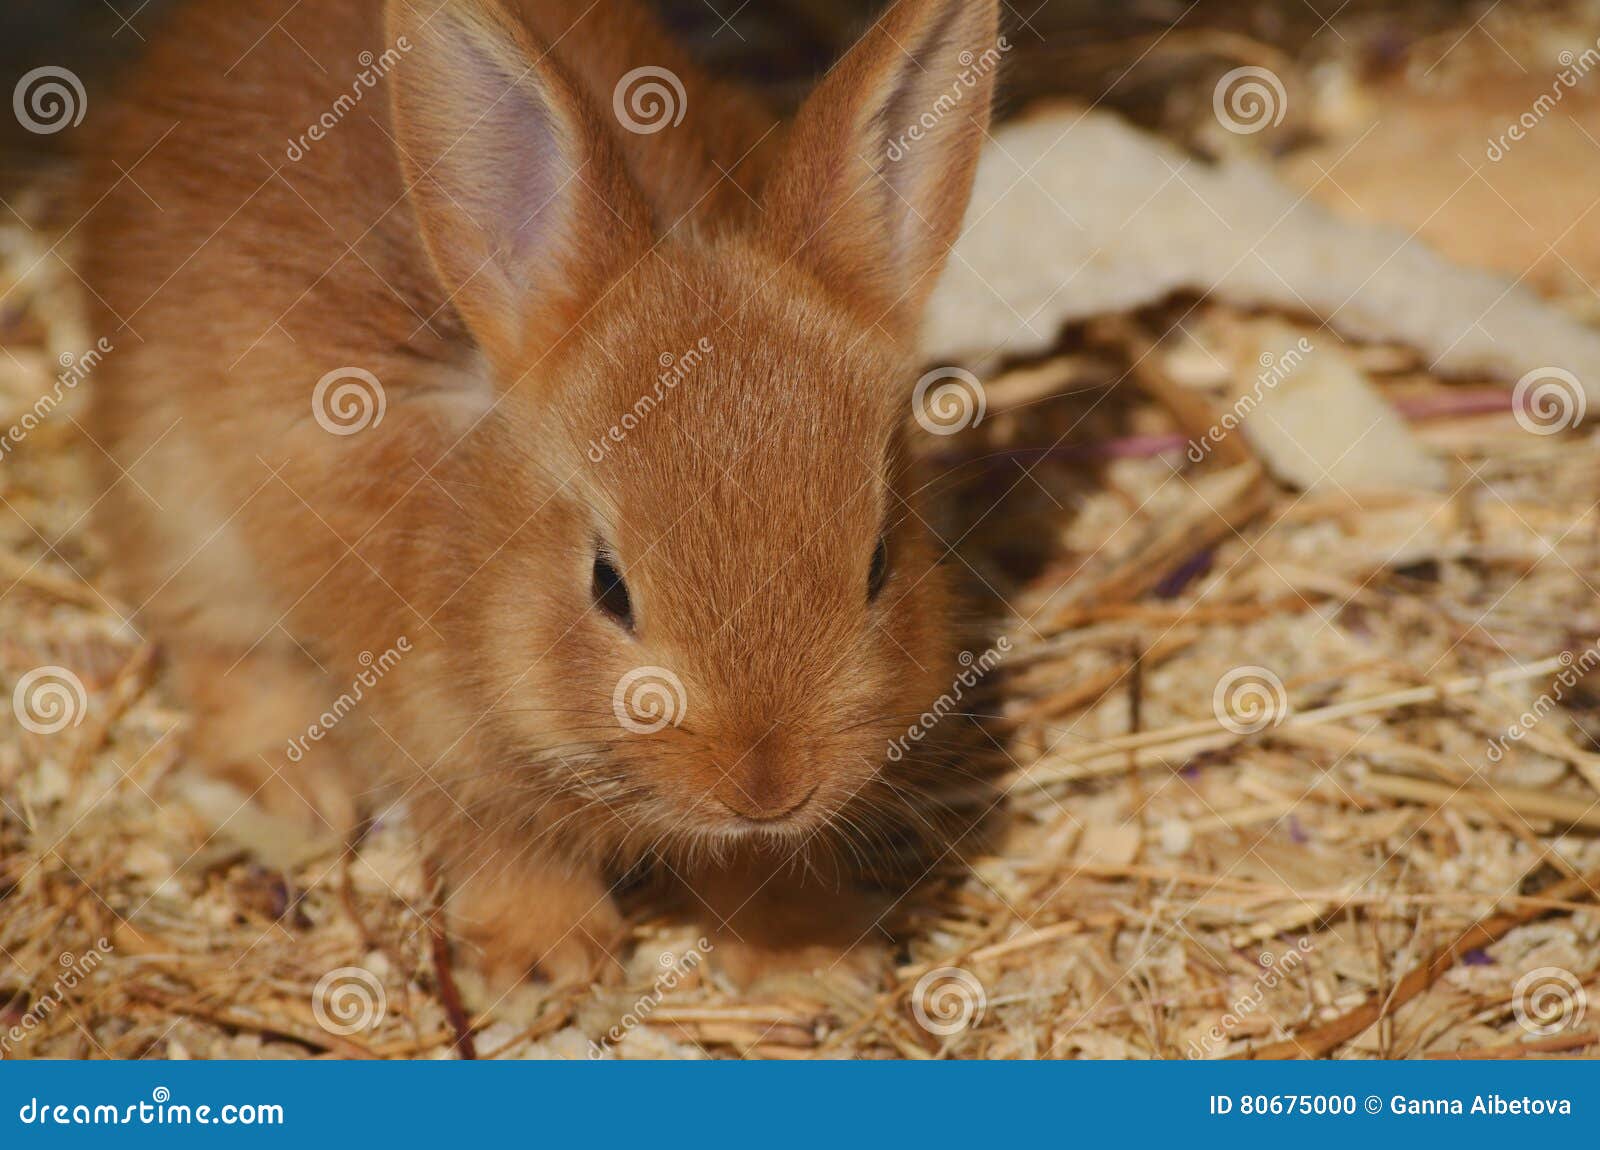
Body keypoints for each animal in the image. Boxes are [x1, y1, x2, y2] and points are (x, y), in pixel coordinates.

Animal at [75, 0, 1001, 987]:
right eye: (607, 585)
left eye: (879, 565)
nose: (768, 787)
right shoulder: (439, 739)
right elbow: (498, 842)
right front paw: (549, 957)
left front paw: (810, 956)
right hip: (185, 515)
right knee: (224, 657)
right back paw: (296, 794)